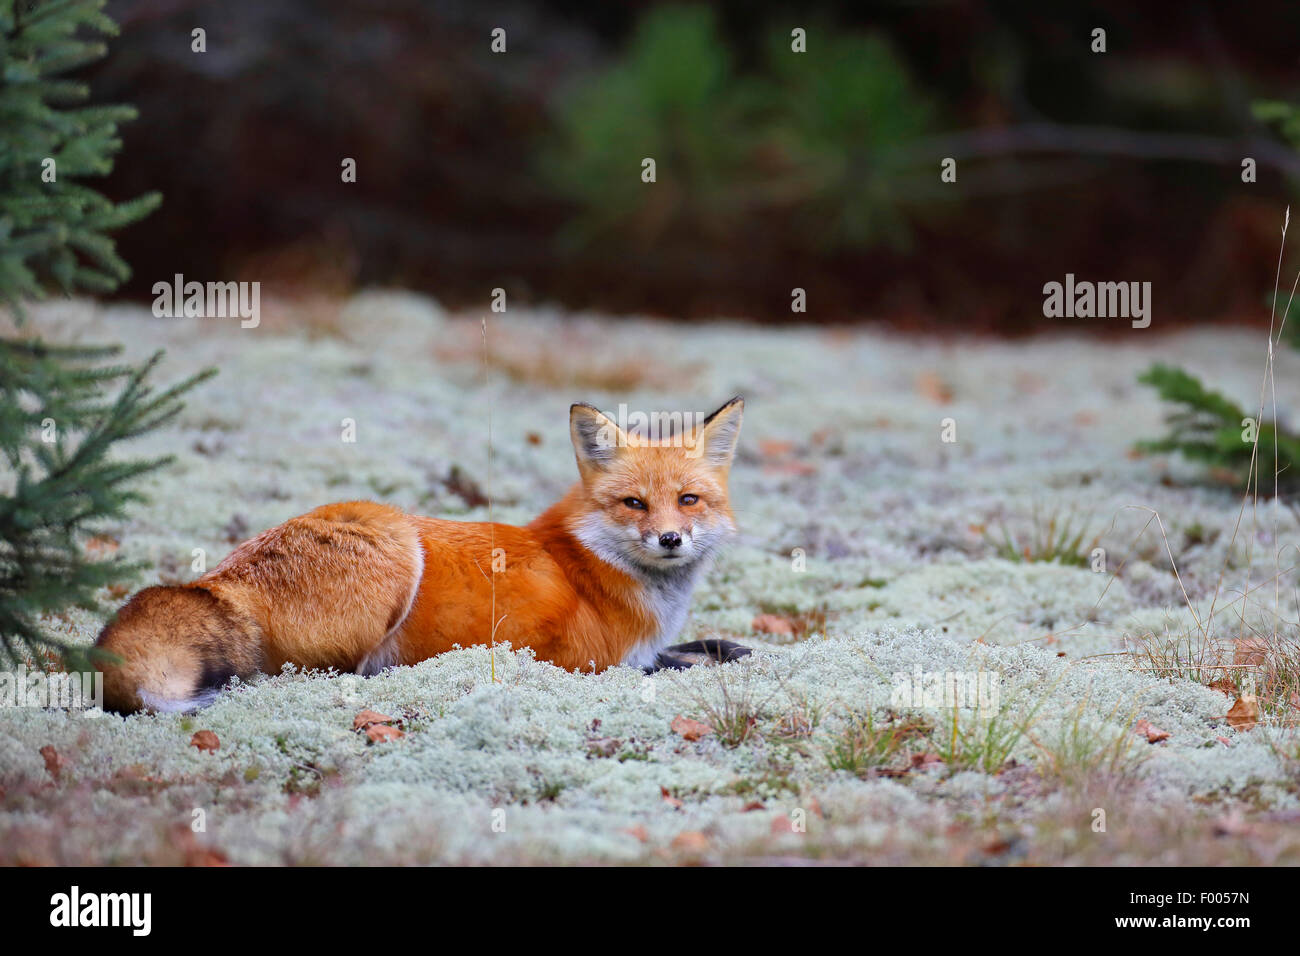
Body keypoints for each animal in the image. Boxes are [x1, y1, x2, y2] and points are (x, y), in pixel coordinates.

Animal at [93, 397, 748, 714]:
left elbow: (699, 649)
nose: (670, 540)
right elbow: (666, 663)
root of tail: (220, 581)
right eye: (635, 503)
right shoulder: (580, 660)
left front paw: (725, 648)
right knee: (327, 673)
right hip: (389, 539)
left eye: (688, 500)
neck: (589, 565)